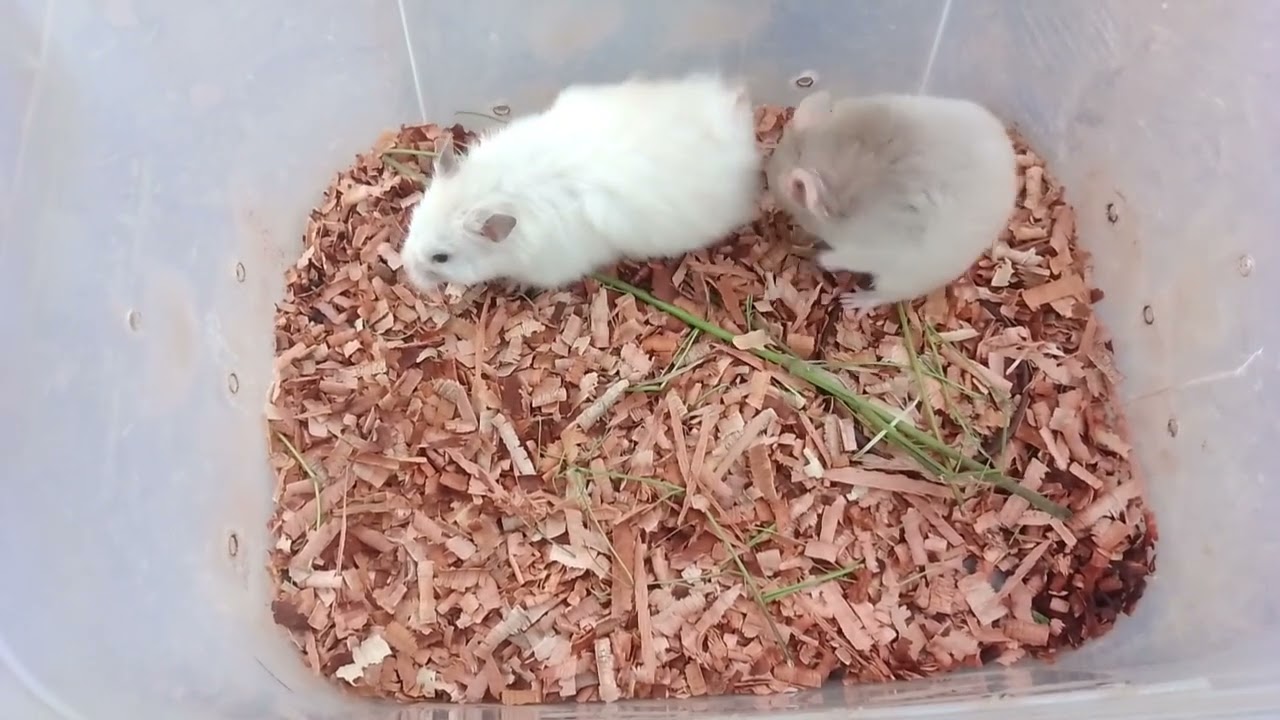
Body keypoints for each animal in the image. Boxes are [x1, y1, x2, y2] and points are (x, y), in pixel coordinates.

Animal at [765, 90, 1018, 314]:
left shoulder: (872, 248)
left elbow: (846, 257)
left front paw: (821, 260)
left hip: (904, 278)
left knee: (885, 294)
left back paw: (853, 301)